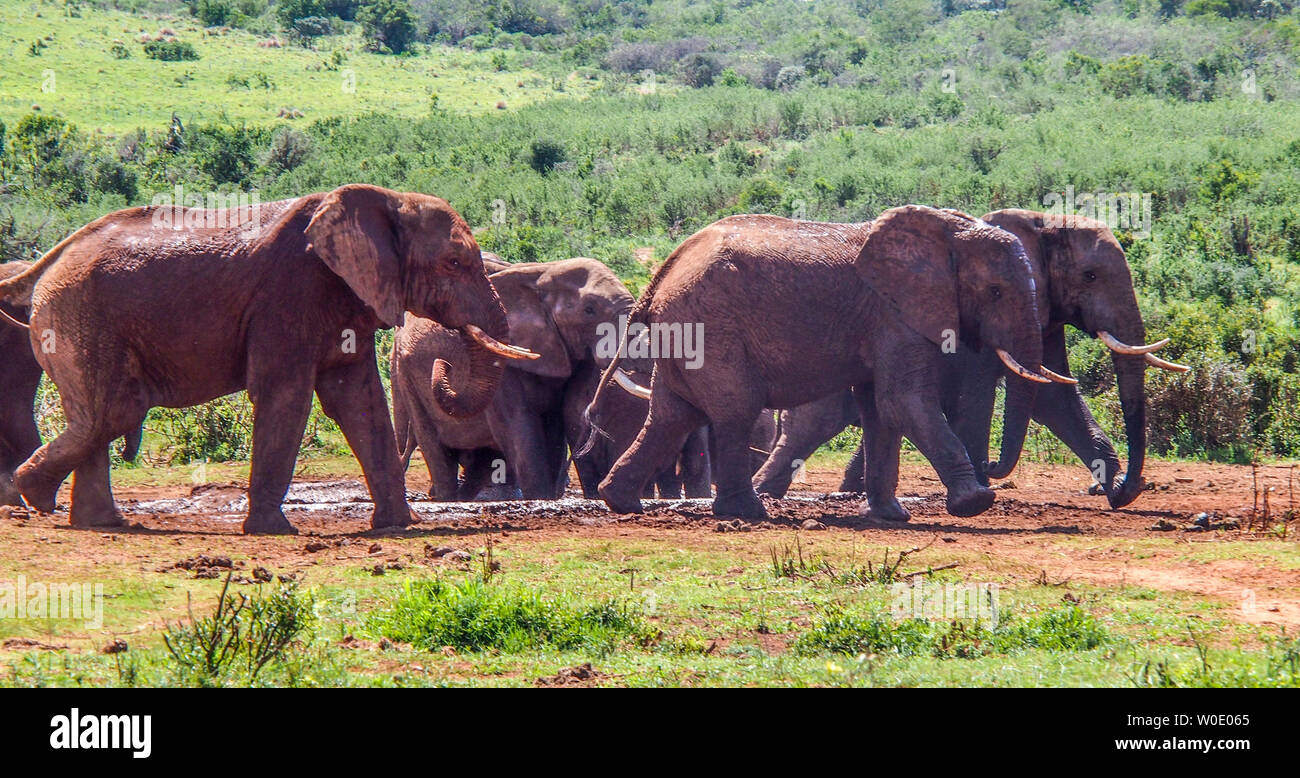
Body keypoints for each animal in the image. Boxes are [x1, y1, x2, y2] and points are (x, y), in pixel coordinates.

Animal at [0, 184, 534, 534]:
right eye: (454, 263)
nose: (447, 366)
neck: (384, 200)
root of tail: (47, 261)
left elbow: (359, 402)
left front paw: (400, 526)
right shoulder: (289, 294)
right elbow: (288, 396)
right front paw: (273, 530)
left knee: (100, 414)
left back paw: (97, 520)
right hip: (77, 318)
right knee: (113, 409)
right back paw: (33, 495)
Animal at [391, 257, 639, 500]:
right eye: (589, 310)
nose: (444, 366)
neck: (543, 273)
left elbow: (564, 418)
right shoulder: (503, 358)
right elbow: (520, 424)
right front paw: (539, 497)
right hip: (406, 373)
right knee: (434, 448)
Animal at [589, 206, 1063, 522]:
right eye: (996, 291)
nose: (993, 473)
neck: (948, 232)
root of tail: (661, 274)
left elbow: (880, 410)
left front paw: (891, 516)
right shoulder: (896, 315)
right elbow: (903, 402)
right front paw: (975, 504)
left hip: (682, 332)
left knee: (670, 415)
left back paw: (620, 501)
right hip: (709, 328)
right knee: (734, 409)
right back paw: (747, 513)